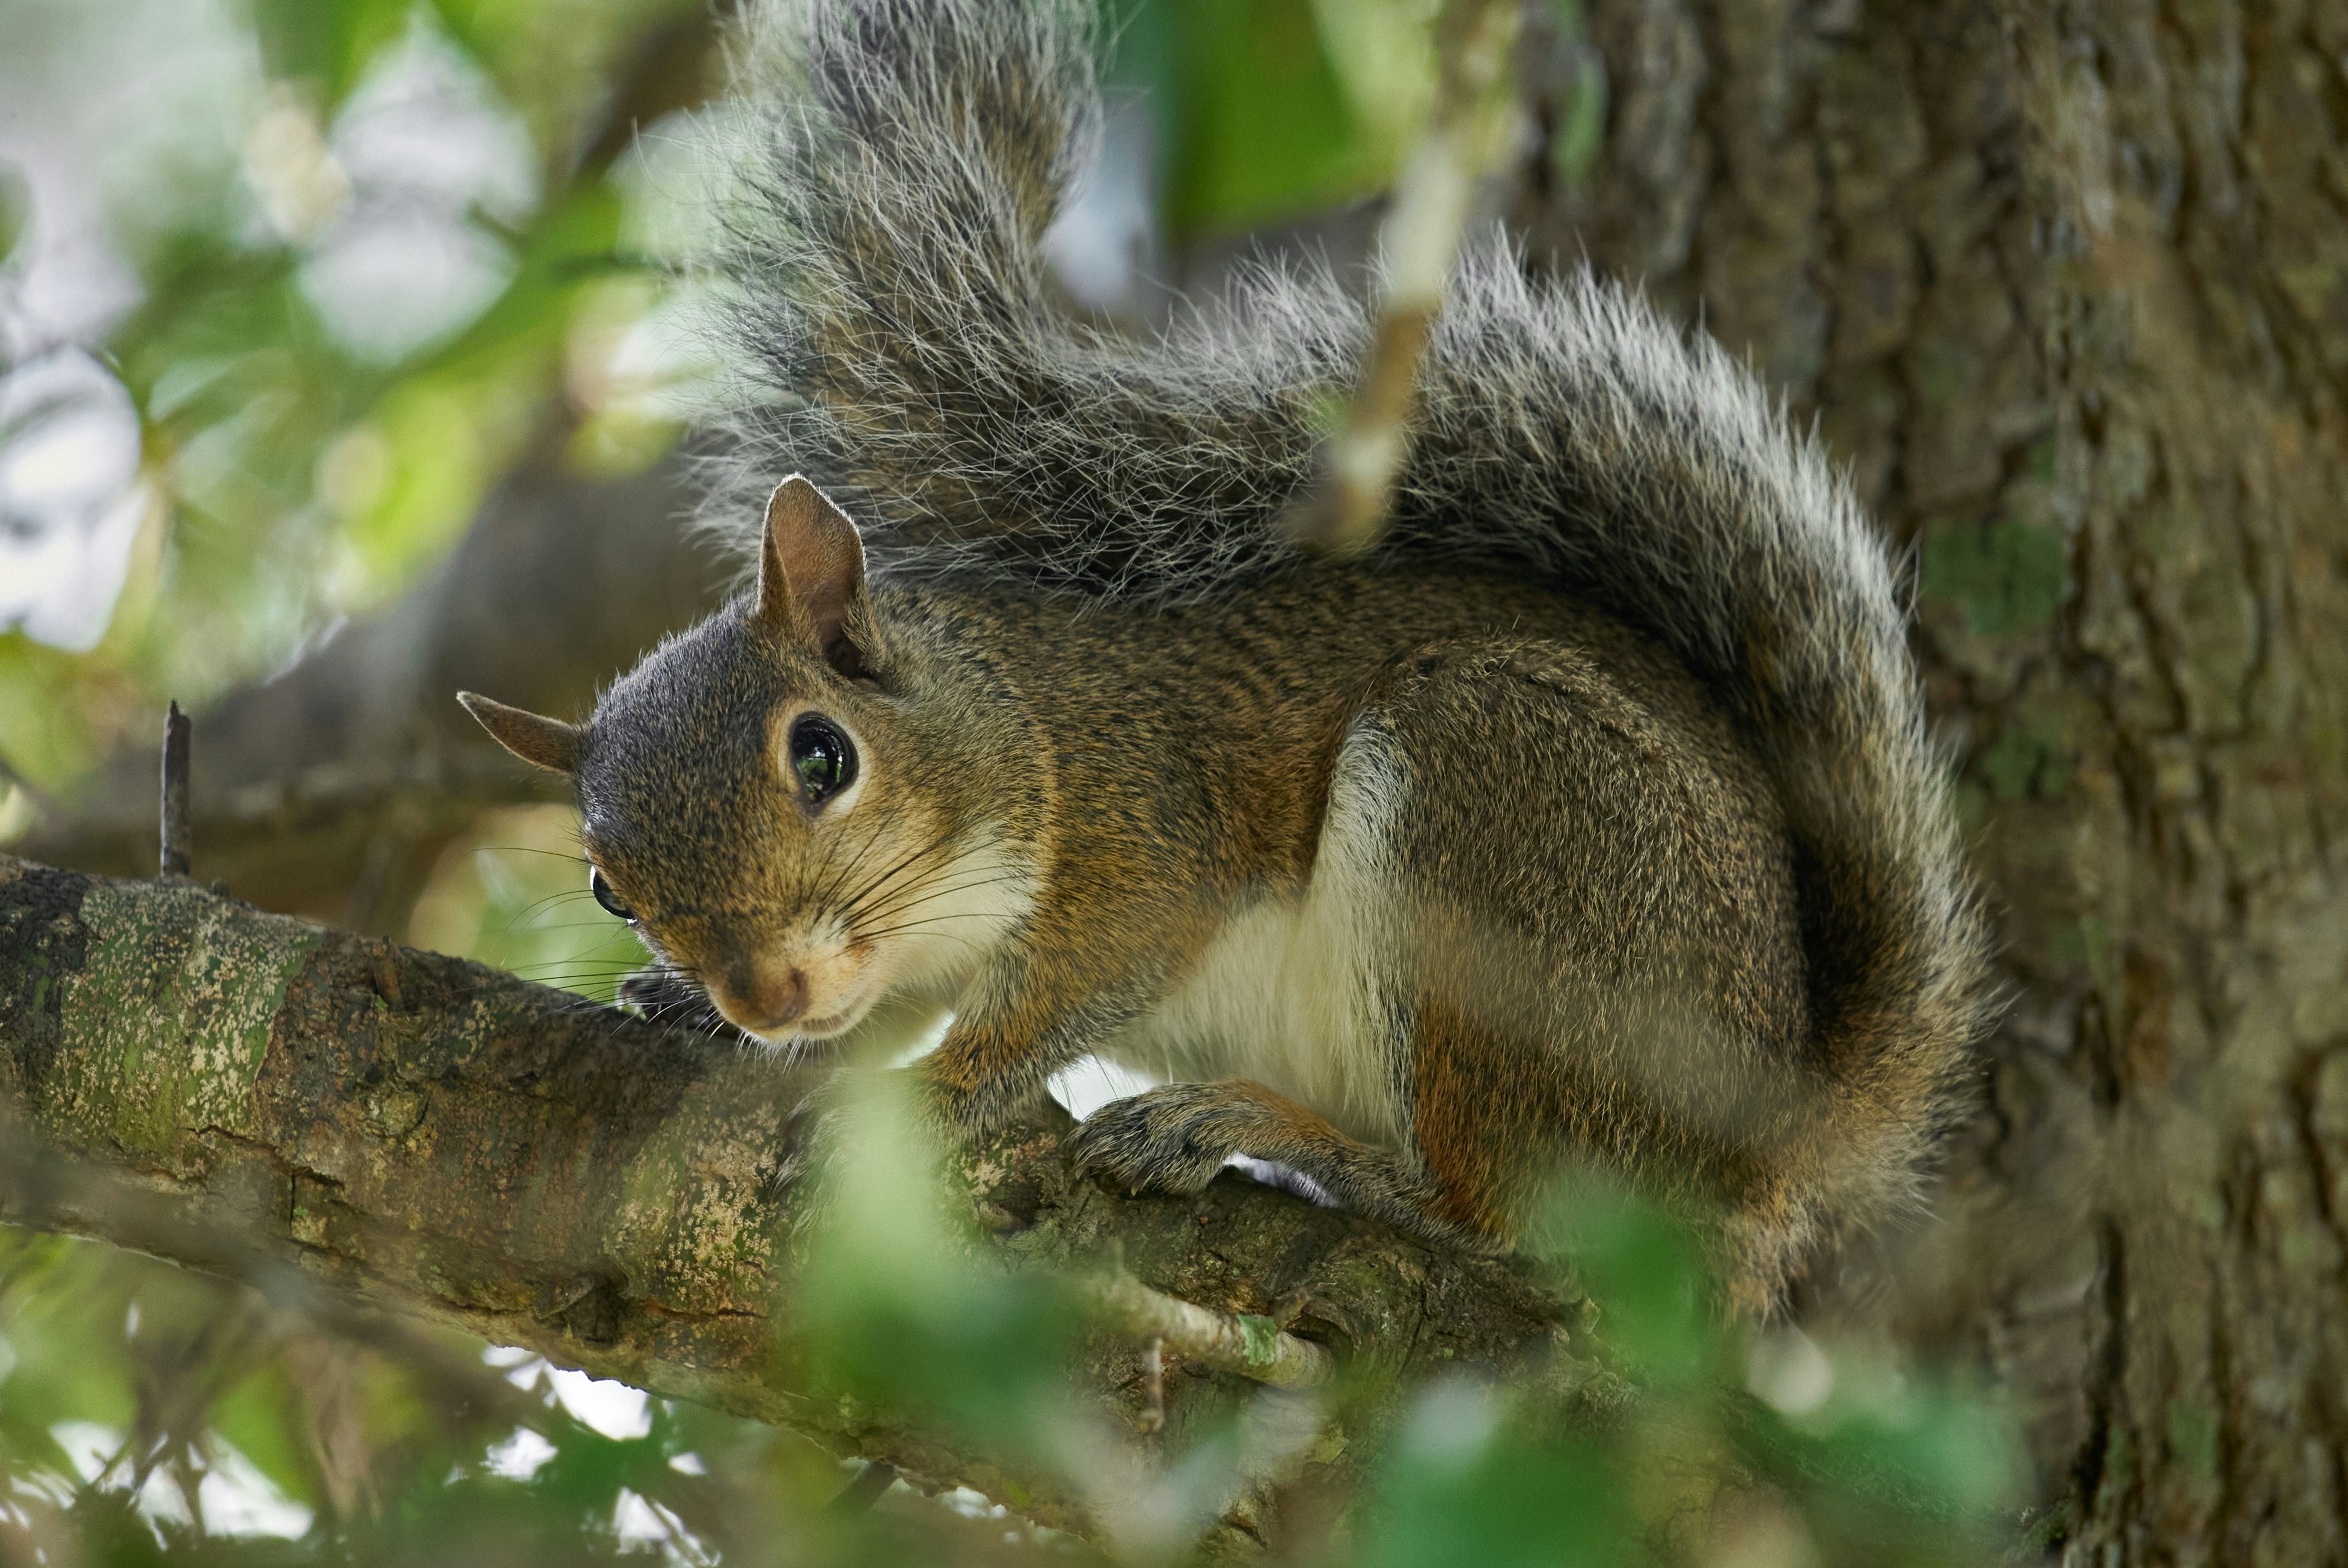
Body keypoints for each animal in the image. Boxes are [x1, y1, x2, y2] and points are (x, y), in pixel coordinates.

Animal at [456, 0, 1995, 1313]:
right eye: (605, 885)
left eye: (820, 754)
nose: (762, 991)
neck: (1009, 721)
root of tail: (1767, 1144)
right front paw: (712, 1016)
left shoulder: (1144, 815)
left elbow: (1081, 972)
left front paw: (923, 1093)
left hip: (1496, 811)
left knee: (1502, 1222)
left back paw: (1261, 1128)